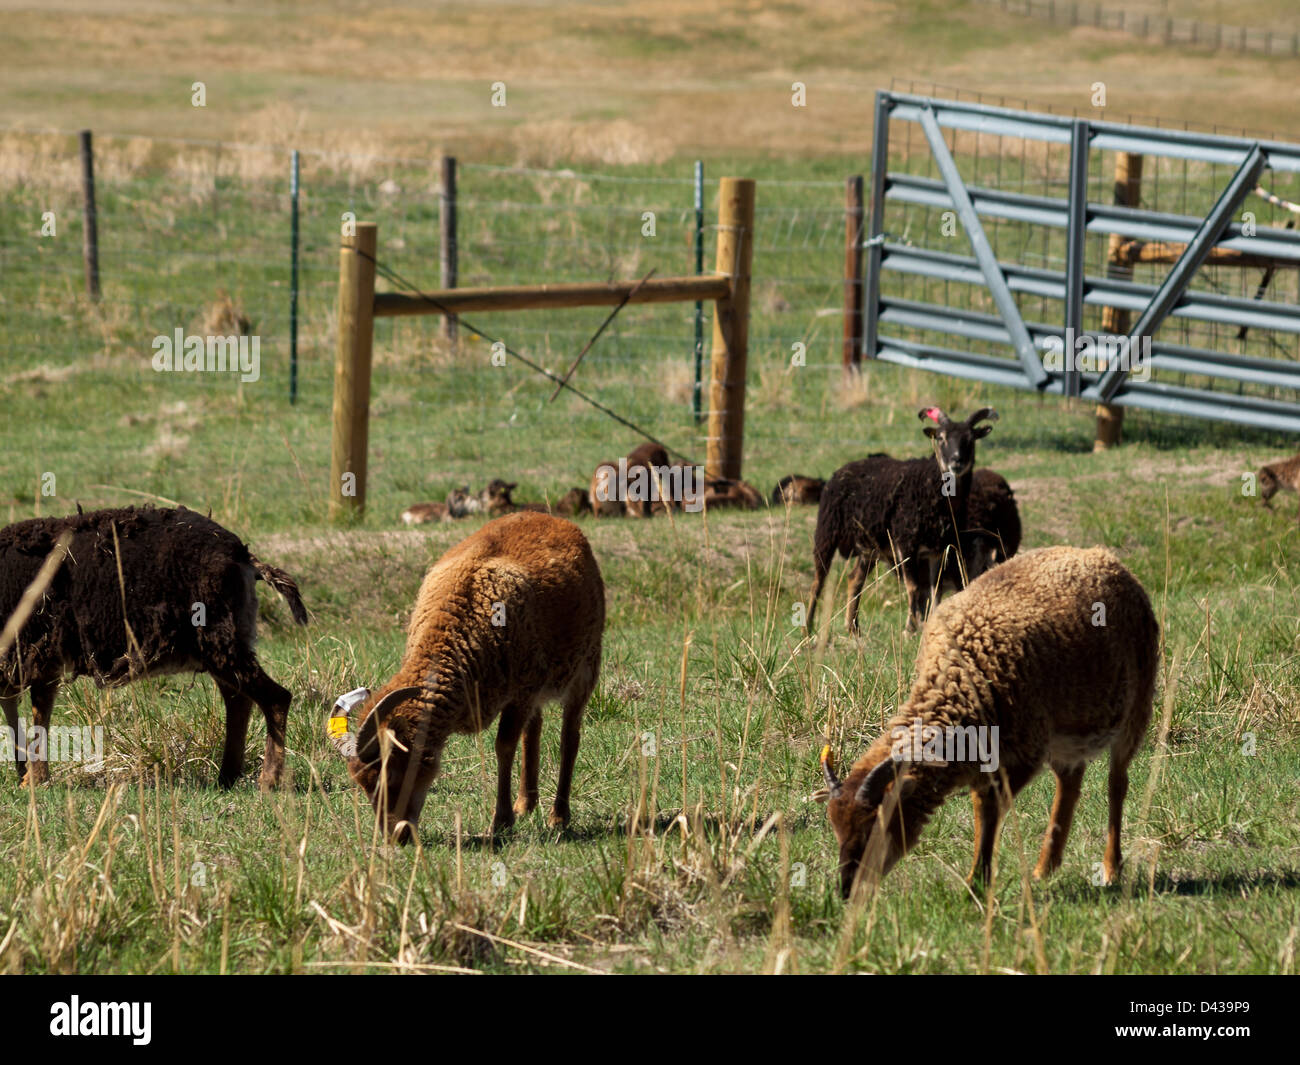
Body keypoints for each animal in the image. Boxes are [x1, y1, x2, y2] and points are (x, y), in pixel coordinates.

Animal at [0, 505, 307, 789]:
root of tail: (243, 557)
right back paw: (227, 778)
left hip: (219, 639)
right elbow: (13, 710)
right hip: (222, 643)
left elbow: (38, 716)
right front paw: (24, 772)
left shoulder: (38, 652)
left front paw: (33, 779)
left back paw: (268, 780)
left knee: (276, 698)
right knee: (239, 700)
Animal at [326, 511, 604, 842]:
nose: (396, 836)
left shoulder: (520, 693)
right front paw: (512, 814)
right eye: (363, 785)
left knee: (569, 737)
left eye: (392, 773)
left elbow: (504, 746)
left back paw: (559, 816)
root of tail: (550, 518)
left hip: (585, 667)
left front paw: (501, 821)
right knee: (533, 730)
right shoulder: (523, 693)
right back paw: (526, 803)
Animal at [806, 407, 997, 635]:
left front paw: (931, 623)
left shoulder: (940, 548)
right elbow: (913, 587)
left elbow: (936, 589)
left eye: (970, 439)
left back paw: (853, 629)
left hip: (869, 547)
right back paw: (807, 629)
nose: (956, 462)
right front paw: (909, 629)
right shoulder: (906, 543)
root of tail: (841, 470)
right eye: (941, 438)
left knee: (854, 579)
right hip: (827, 532)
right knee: (818, 580)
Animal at [820, 545, 1159, 899]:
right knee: (1070, 783)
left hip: (1136, 710)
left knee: (1116, 784)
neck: (961, 675)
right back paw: (1043, 869)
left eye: (875, 824)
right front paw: (980, 879)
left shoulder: (1020, 756)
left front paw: (976, 884)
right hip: (1068, 737)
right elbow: (982, 808)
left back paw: (1110, 868)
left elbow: (990, 809)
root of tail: (1107, 558)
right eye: (836, 827)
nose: (846, 890)